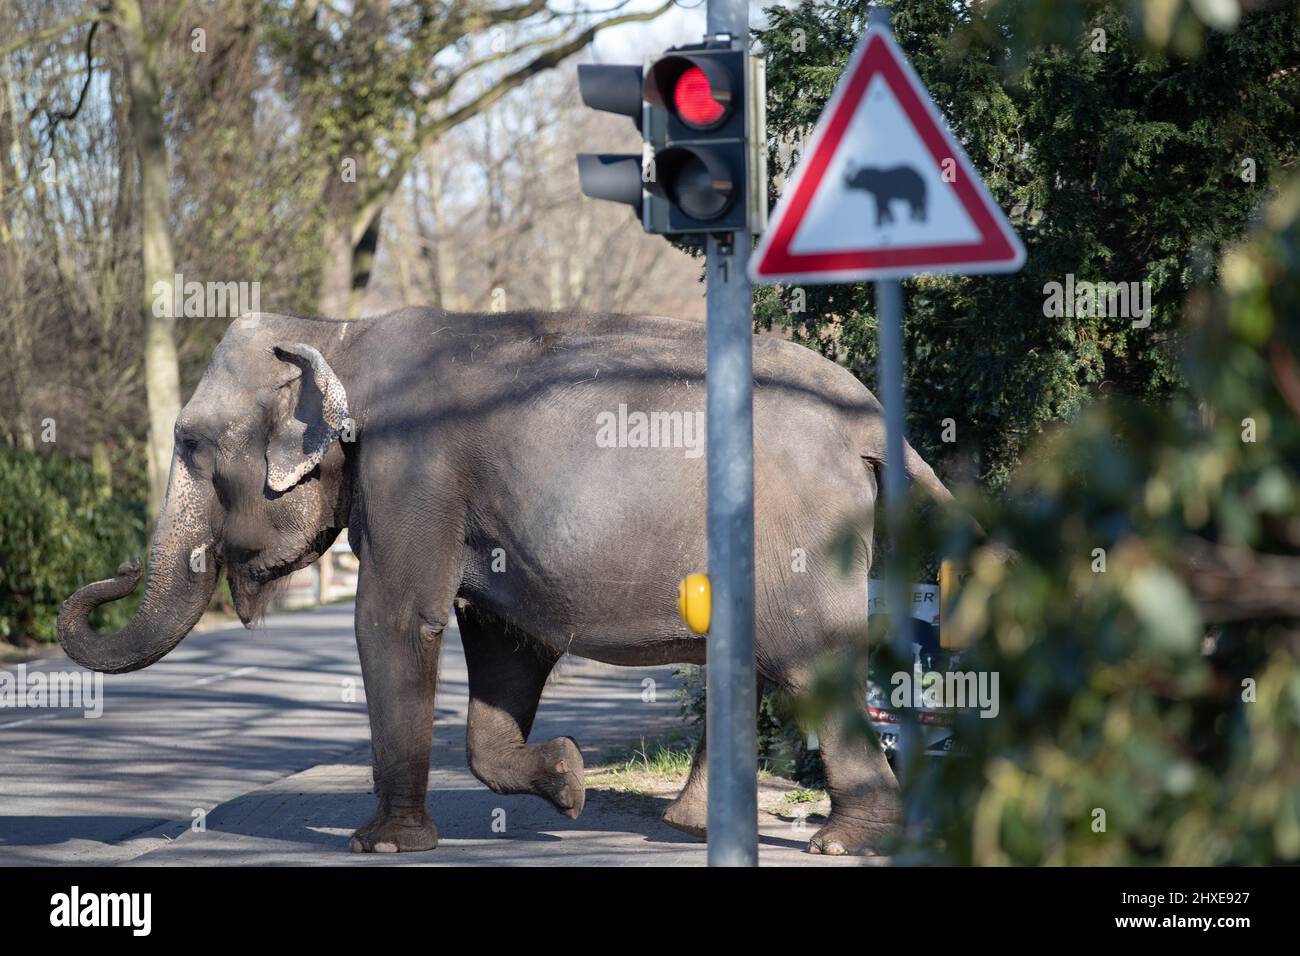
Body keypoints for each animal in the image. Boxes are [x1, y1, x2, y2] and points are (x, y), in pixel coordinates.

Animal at [58, 308, 955, 856]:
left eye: (191, 444)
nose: (118, 570)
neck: (335, 334)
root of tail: (871, 415)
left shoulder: (412, 470)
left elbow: (393, 621)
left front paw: (381, 844)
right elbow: (501, 643)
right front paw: (568, 781)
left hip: (800, 539)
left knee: (805, 662)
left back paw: (842, 842)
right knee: (757, 661)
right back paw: (692, 825)